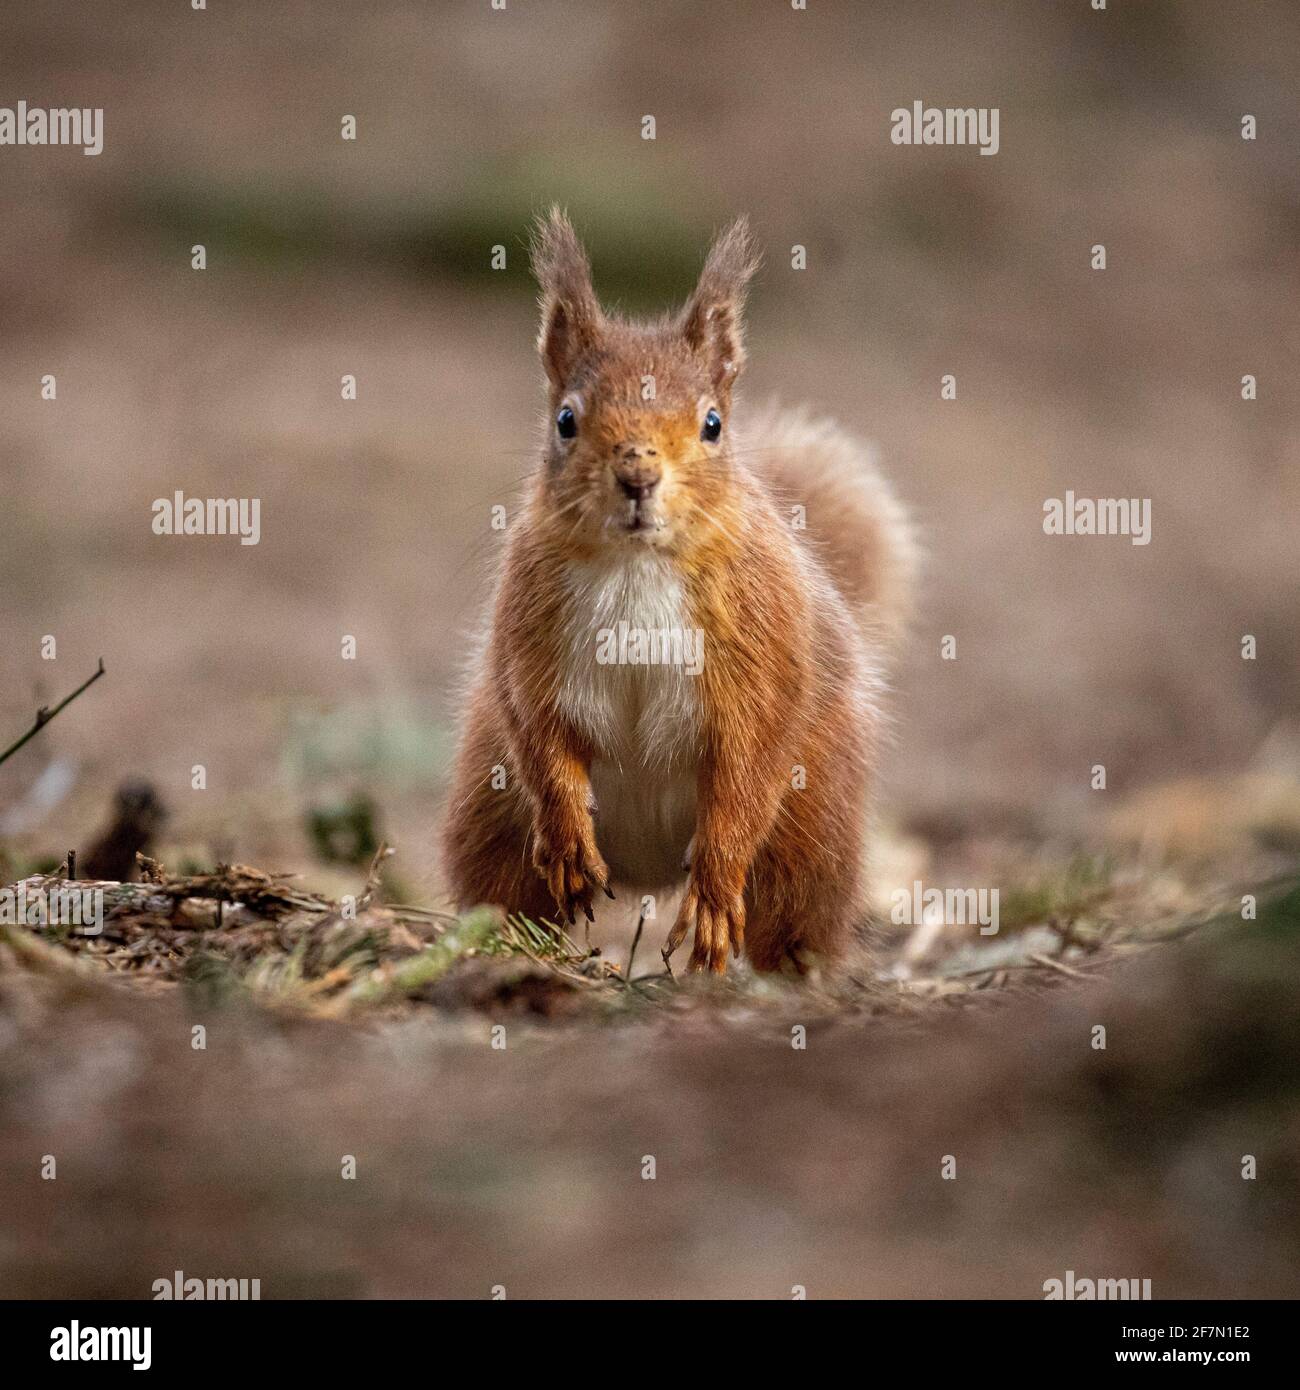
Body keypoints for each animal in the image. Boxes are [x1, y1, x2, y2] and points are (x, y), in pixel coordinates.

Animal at [441, 210, 915, 974]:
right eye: (566, 420)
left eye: (713, 424)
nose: (637, 474)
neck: (638, 565)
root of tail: (650, 871)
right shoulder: (526, 636)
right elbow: (538, 730)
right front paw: (567, 836)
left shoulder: (763, 652)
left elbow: (748, 765)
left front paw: (716, 891)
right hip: (491, 807)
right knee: (507, 889)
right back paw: (509, 943)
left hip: (814, 825)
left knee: (796, 916)